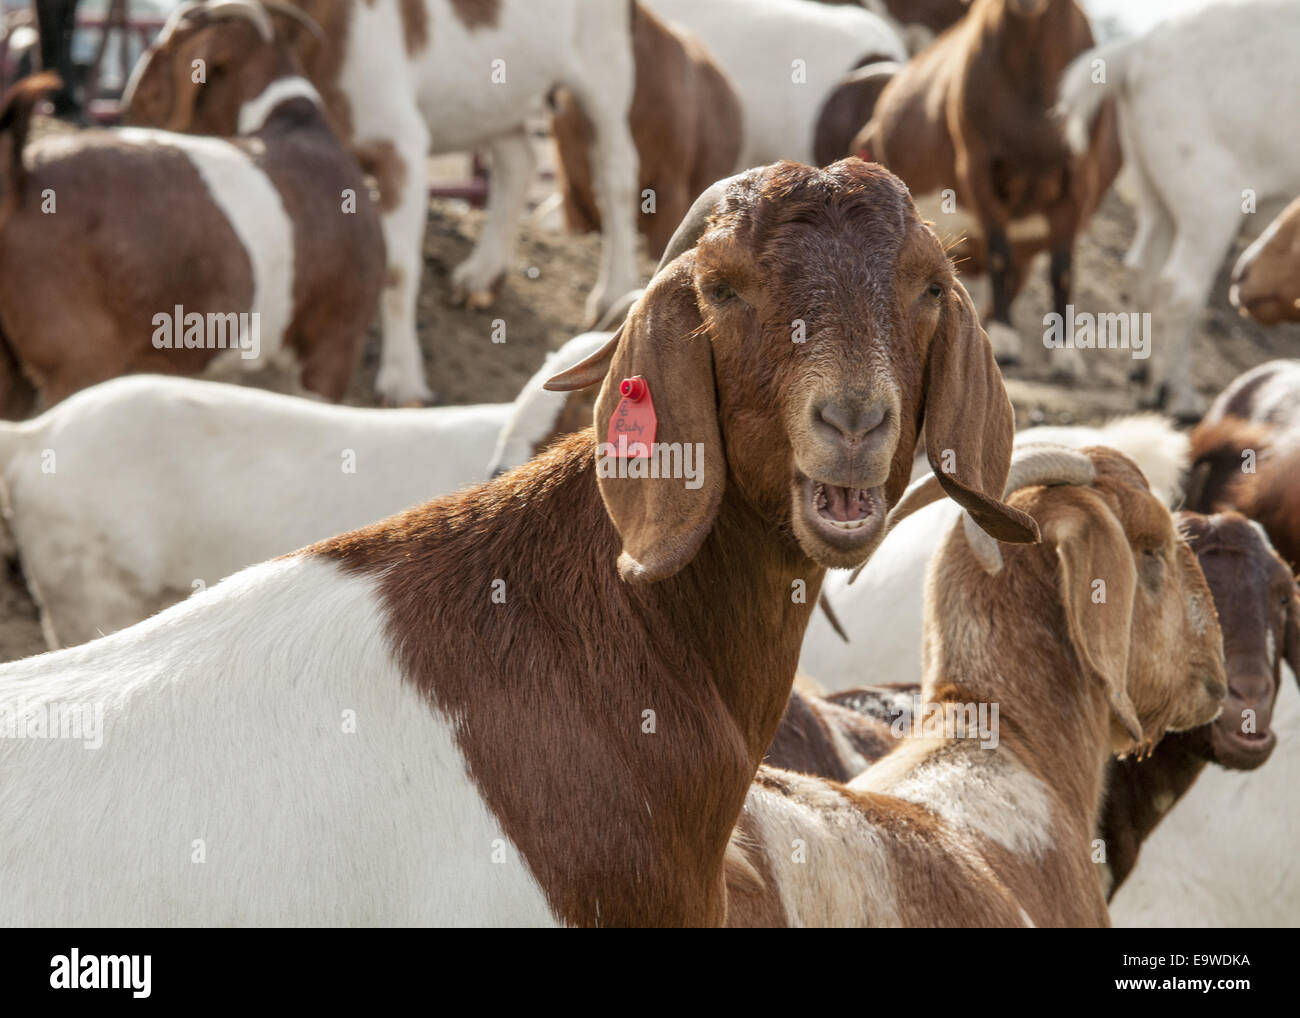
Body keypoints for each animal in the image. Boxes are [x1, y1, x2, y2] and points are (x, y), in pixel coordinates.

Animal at [0, 25, 383, 417]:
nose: (130, 109)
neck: (295, 122)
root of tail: (22, 177)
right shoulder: (334, 344)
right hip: (78, 363)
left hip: (14, 372)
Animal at [124, 0, 641, 405]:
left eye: (155, 90)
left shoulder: (399, 146)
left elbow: (397, 268)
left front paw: (402, 380)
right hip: (499, 96)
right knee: (517, 160)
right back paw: (481, 276)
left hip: (605, 64)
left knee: (616, 170)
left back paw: (611, 292)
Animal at [853, 0, 1120, 368]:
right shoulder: (976, 168)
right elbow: (999, 253)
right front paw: (1006, 340)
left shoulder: (1079, 177)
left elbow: (1062, 268)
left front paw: (1065, 354)